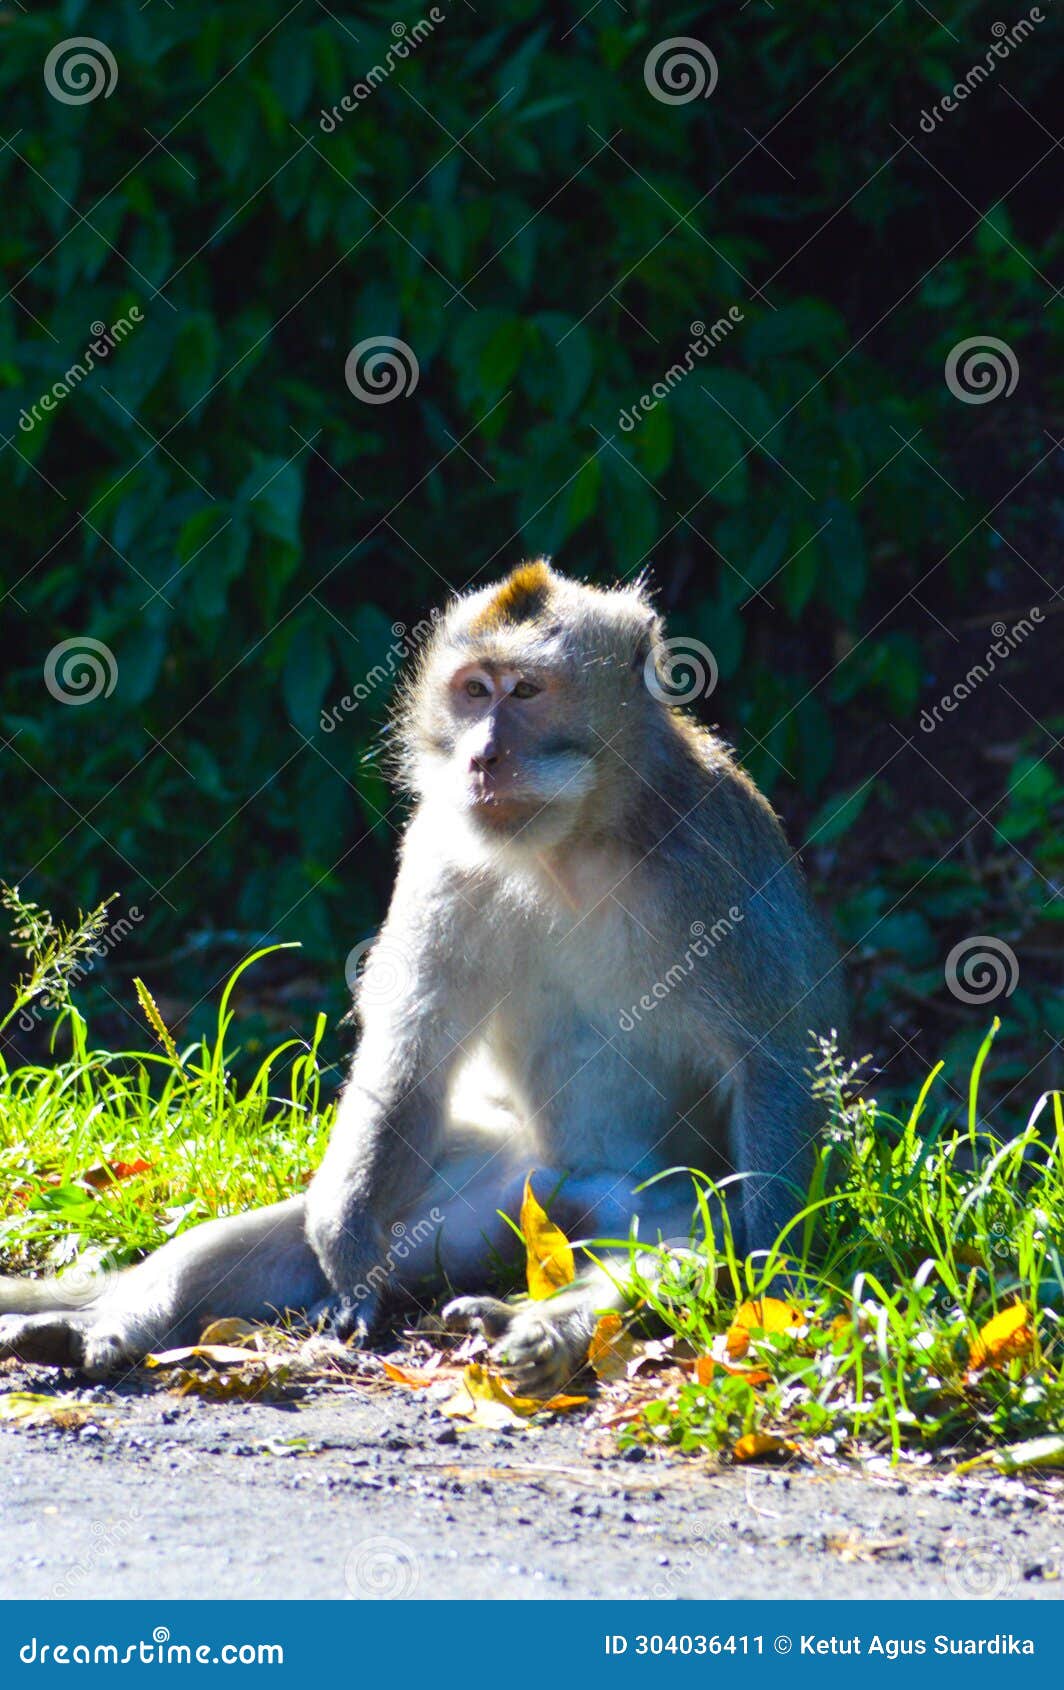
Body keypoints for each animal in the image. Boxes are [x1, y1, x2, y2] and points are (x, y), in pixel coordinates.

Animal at [0, 560, 846, 1394]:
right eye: (474, 690)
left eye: (526, 692)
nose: (482, 756)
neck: (571, 843)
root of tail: (567, 1194)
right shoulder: (443, 851)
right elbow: (413, 1043)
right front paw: (344, 1243)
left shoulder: (713, 859)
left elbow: (771, 1056)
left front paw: (776, 1282)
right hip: (482, 1181)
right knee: (272, 1233)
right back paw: (99, 1330)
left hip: (631, 1199)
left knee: (678, 1243)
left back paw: (542, 1331)